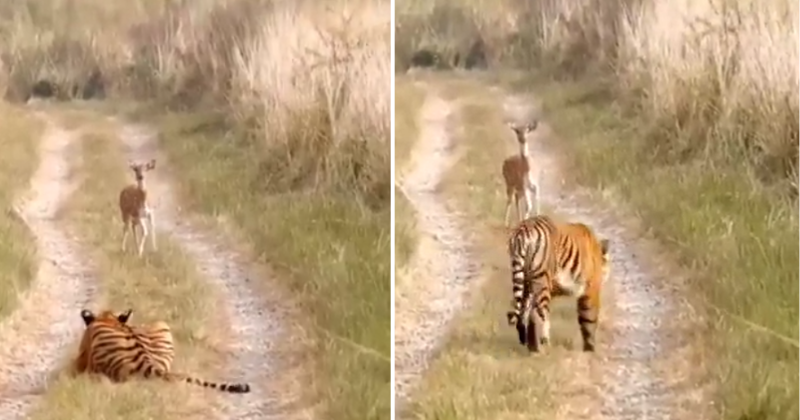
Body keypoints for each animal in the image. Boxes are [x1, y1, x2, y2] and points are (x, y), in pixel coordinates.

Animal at [505, 214, 611, 353]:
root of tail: (523, 230)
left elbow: (526, 310)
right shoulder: (590, 291)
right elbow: (589, 320)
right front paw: (589, 350)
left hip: (525, 277)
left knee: (525, 309)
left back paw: (533, 346)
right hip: (542, 281)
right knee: (540, 314)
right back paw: (545, 346)